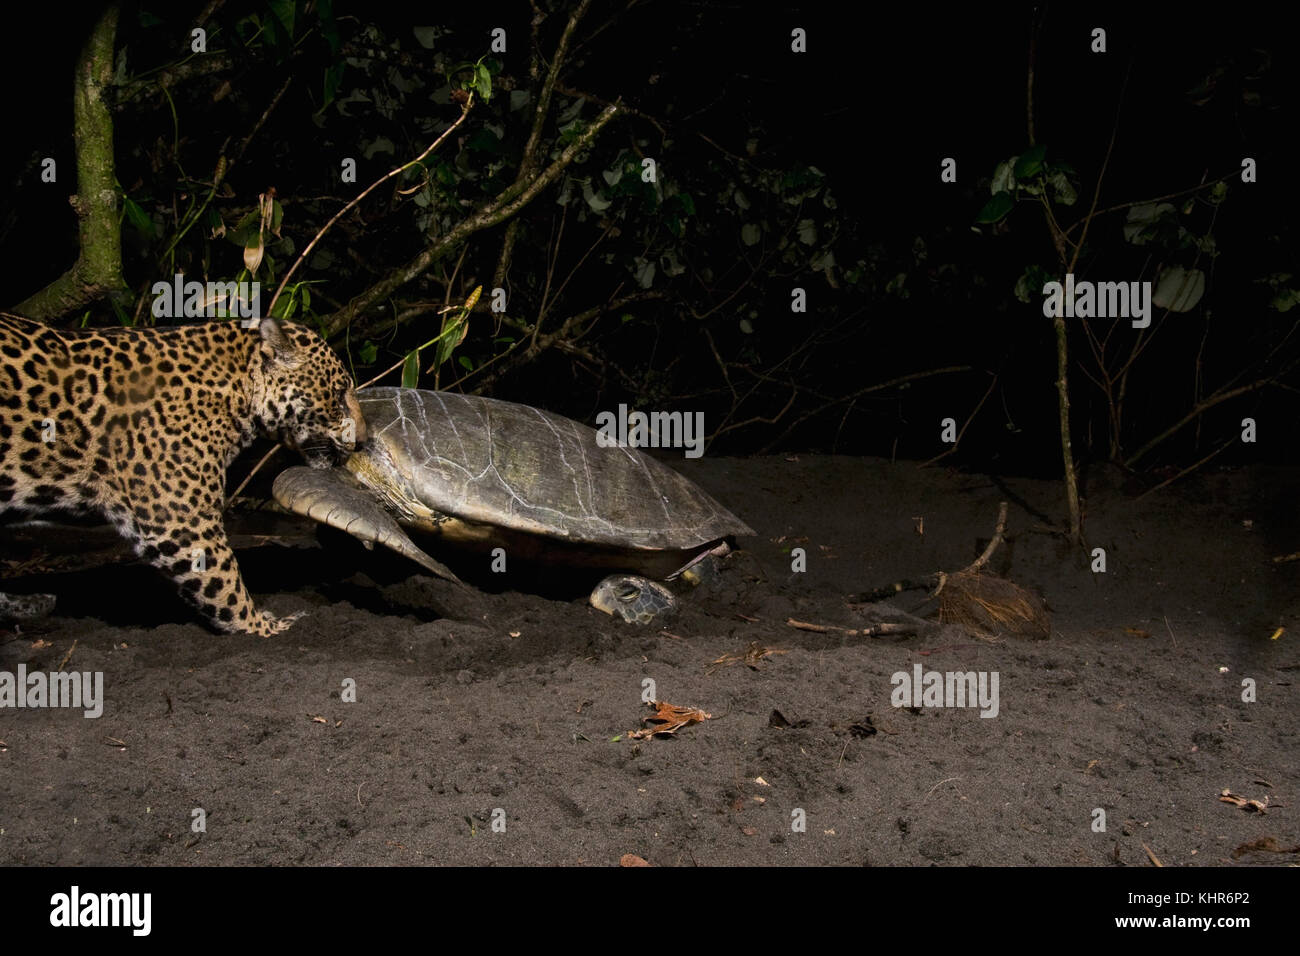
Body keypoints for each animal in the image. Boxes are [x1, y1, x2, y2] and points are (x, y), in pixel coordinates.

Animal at [0, 312, 366, 636]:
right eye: (338, 395)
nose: (363, 441)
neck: (239, 393)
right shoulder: (181, 522)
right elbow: (226, 584)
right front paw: (268, 627)